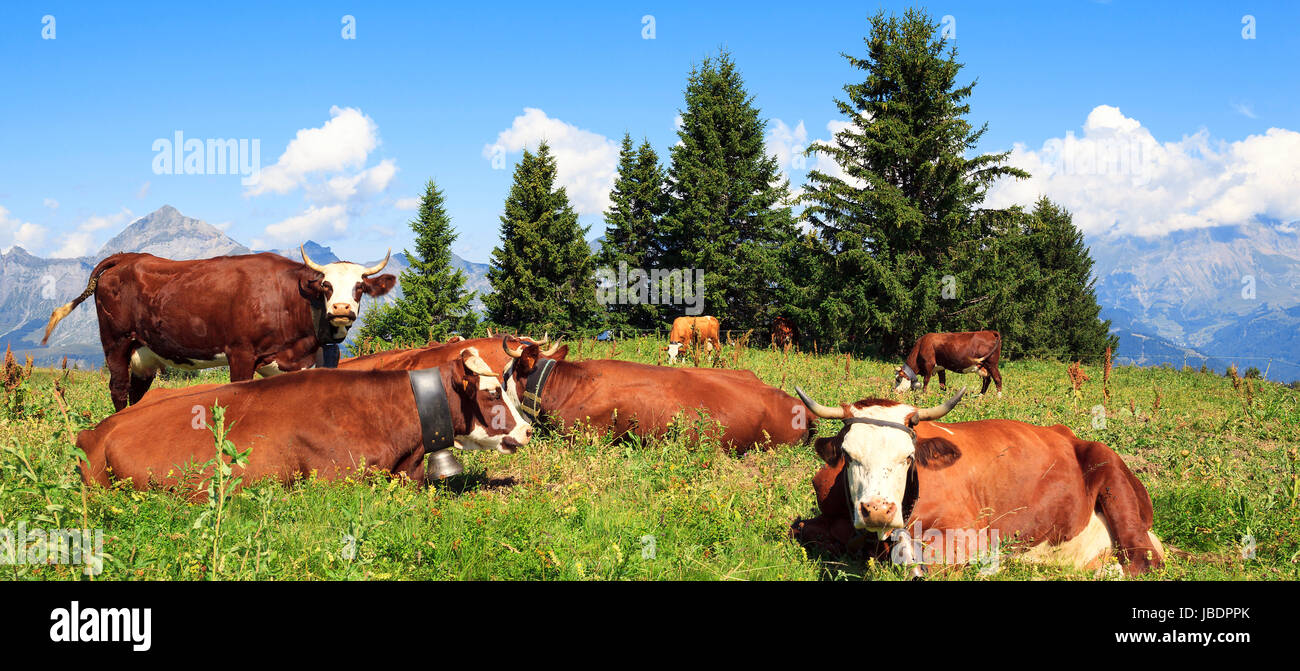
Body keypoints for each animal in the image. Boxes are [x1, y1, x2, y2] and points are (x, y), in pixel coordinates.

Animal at [40, 247, 396, 412]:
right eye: (325, 285)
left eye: (360, 287)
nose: (341, 310)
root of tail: (127, 256)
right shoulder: (240, 352)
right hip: (115, 342)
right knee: (117, 389)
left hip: (144, 354)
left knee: (136, 393)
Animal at [789, 388, 1163, 577]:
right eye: (849, 455)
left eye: (907, 457)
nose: (878, 510)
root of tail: (1069, 435)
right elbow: (802, 529)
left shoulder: (966, 535)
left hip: (1113, 477)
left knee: (1144, 561)